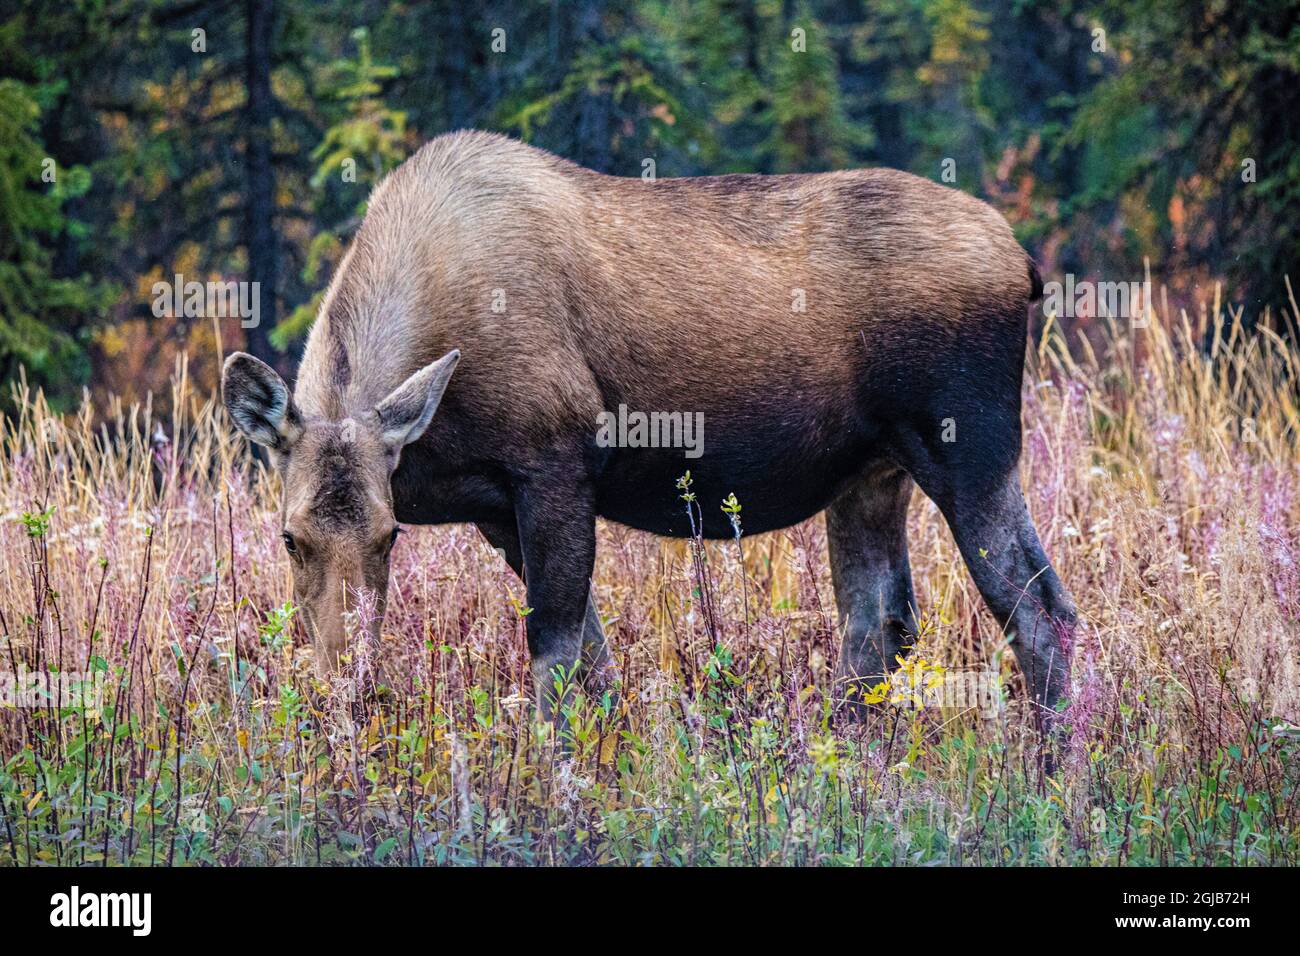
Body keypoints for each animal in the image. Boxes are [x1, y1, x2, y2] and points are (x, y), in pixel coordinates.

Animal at [222, 130, 1076, 731]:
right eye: (289, 537)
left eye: (390, 534)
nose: (342, 682)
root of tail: (1024, 265)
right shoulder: (497, 509)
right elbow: (595, 661)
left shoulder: (554, 465)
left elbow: (556, 658)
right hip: (873, 471)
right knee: (880, 621)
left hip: (970, 446)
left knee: (1040, 609)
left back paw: (1050, 776)